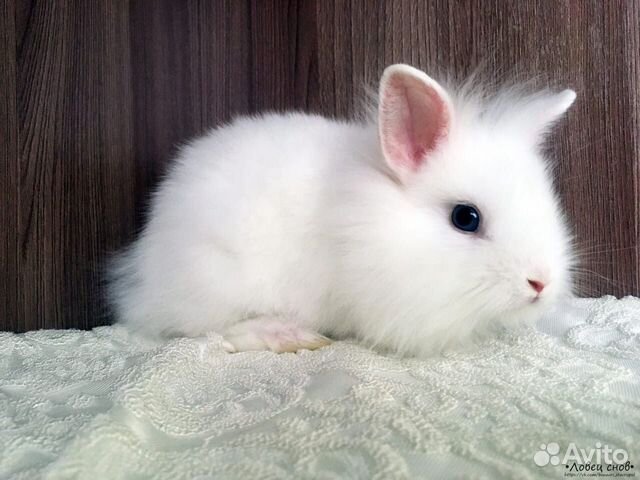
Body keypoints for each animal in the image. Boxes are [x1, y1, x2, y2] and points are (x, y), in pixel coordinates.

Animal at [108, 64, 576, 357]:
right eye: (465, 218)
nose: (541, 283)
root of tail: (143, 268)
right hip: (217, 279)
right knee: (210, 330)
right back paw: (289, 335)